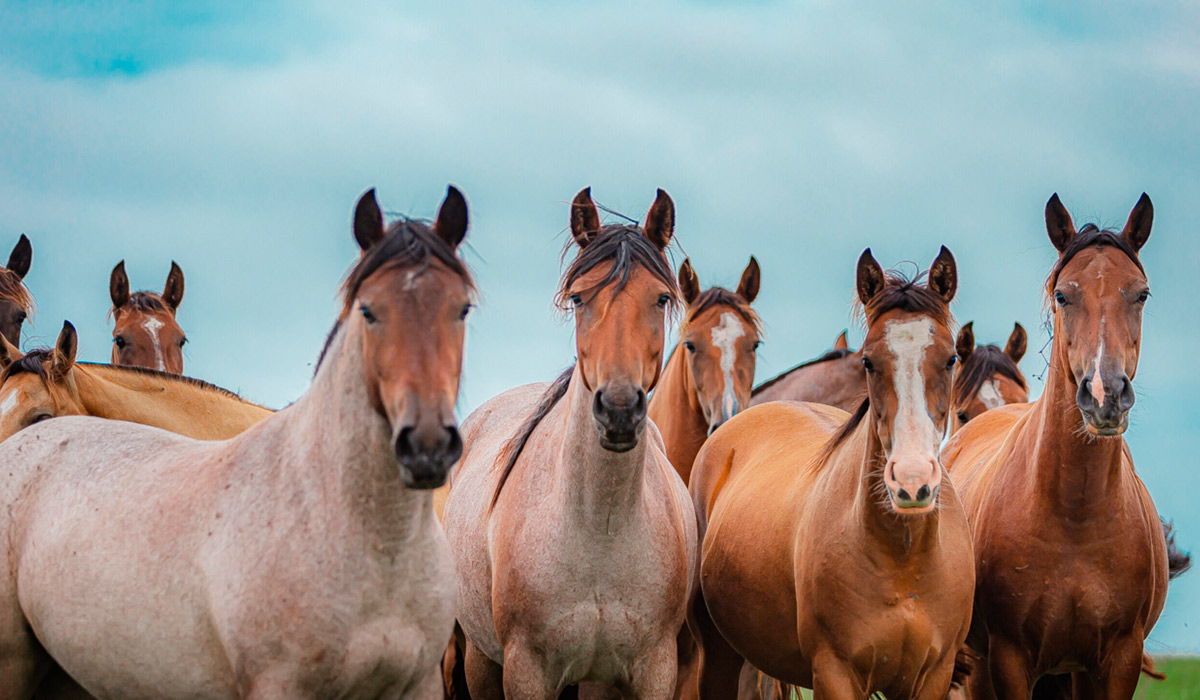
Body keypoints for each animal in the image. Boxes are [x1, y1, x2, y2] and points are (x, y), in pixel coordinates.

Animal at [443, 188, 697, 700]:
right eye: (579, 298)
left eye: (661, 298)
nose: (618, 410)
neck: (599, 529)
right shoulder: (526, 671)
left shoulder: (654, 670)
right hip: (481, 659)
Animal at [689, 247, 974, 700]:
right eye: (868, 361)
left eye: (950, 360)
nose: (912, 482)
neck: (904, 561)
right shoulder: (835, 673)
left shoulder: (933, 675)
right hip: (718, 656)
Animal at [941, 193, 1168, 700]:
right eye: (1063, 294)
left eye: (1141, 293)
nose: (1105, 394)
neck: (1075, 516)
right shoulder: (1008, 660)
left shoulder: (1117, 661)